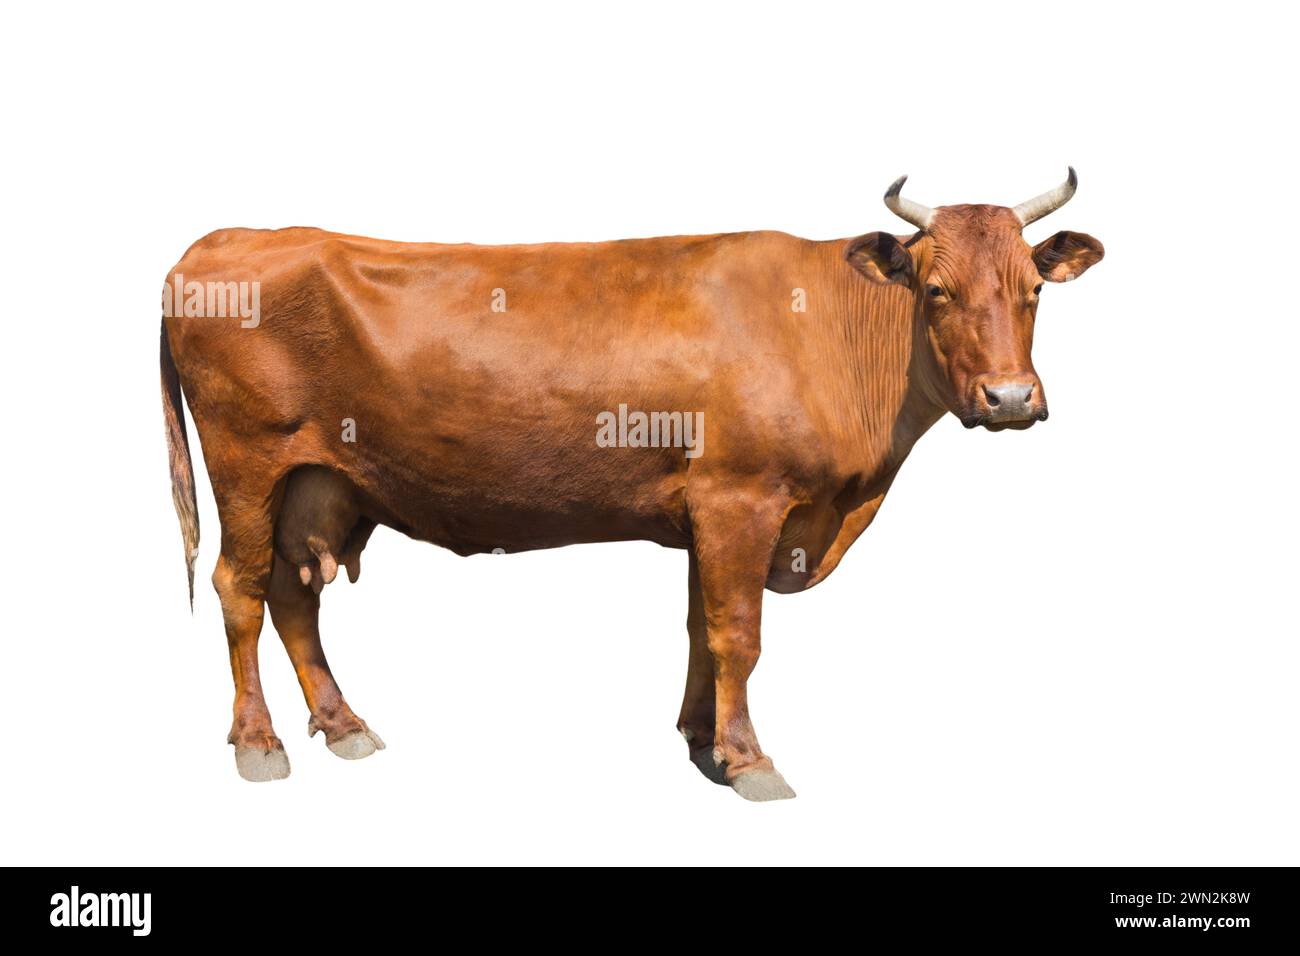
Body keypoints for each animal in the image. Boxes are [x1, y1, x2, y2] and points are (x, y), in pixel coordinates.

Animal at [160, 171, 1103, 799]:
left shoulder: (704, 512)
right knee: (240, 589)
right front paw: (750, 761)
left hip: (319, 482)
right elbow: (738, 636)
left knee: (294, 594)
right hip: (247, 463)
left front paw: (701, 742)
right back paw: (258, 745)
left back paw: (345, 727)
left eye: (1032, 290)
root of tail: (224, 240)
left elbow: (699, 629)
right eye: (936, 291)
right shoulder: (741, 499)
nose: (1012, 398)